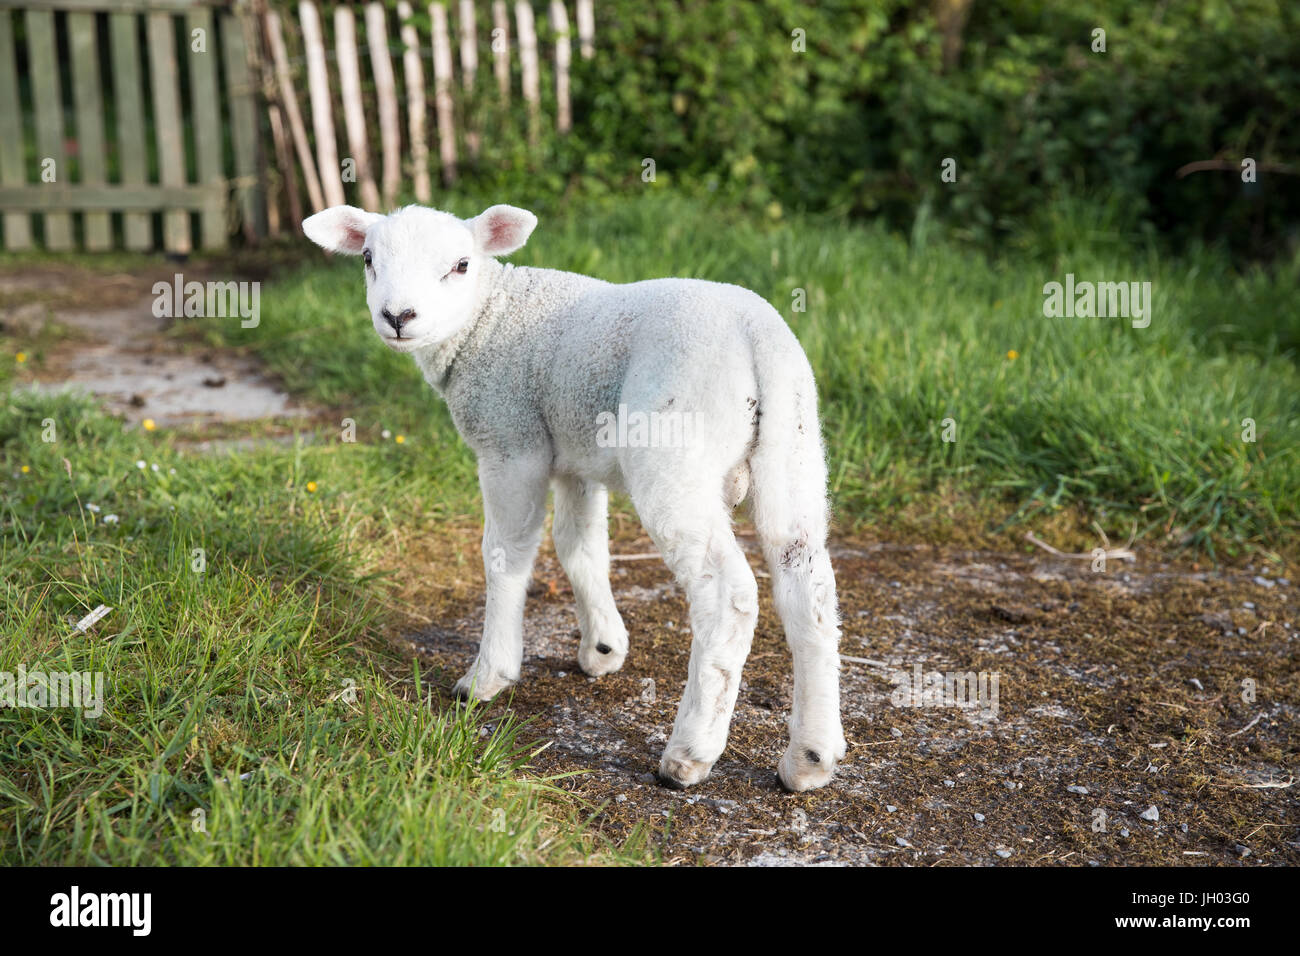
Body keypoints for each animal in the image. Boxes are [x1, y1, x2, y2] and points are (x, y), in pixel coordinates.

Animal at [302, 203, 846, 792]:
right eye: (367, 258)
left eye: (462, 264)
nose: (398, 315)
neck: (488, 317)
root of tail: (757, 336)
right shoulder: (574, 455)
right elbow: (579, 546)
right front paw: (603, 648)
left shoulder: (511, 441)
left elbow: (507, 554)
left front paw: (487, 677)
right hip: (795, 449)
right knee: (808, 585)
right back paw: (810, 757)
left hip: (675, 452)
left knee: (728, 595)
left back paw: (689, 754)